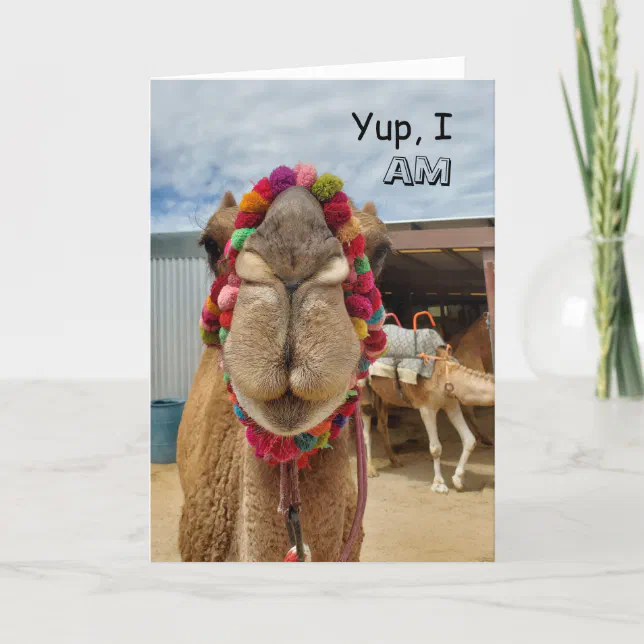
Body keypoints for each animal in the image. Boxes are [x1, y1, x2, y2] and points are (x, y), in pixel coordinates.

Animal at [360, 343, 494, 493]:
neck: (446, 374)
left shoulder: (451, 405)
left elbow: (470, 440)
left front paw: (458, 481)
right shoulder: (426, 408)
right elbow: (436, 448)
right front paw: (439, 484)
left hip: (383, 394)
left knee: (382, 424)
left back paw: (394, 461)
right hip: (361, 385)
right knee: (366, 424)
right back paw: (371, 470)